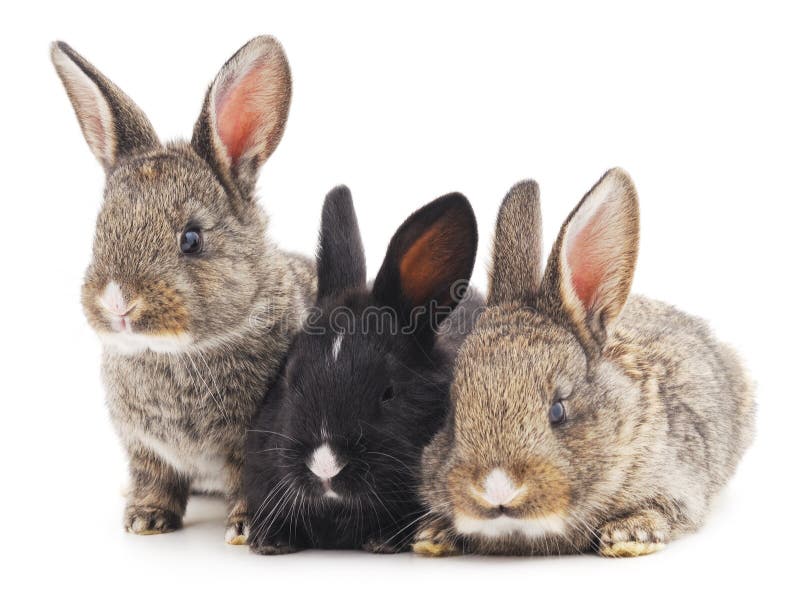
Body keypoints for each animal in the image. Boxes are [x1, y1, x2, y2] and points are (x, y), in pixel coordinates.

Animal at [51, 36, 316, 544]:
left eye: (191, 239)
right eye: (101, 230)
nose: (118, 302)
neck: (172, 355)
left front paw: (246, 530)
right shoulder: (145, 450)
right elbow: (154, 480)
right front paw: (145, 519)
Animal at [413, 169, 755, 557]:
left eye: (558, 410)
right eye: (452, 412)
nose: (497, 488)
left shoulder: (681, 483)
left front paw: (629, 537)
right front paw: (433, 535)